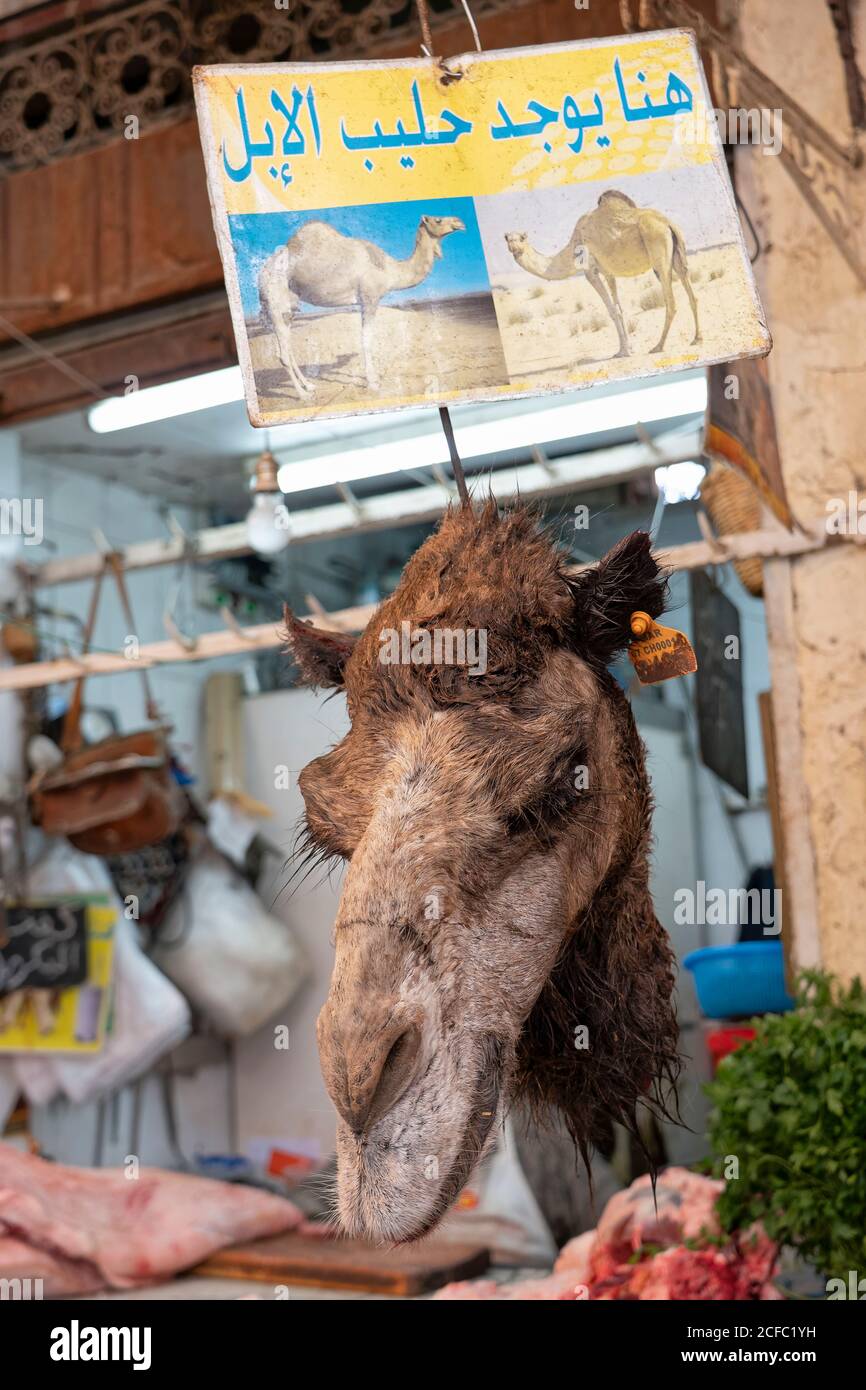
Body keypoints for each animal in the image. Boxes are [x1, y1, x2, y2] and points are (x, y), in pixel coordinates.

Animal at [258, 214, 465, 399]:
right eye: (438, 219)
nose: (460, 222)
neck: (389, 269)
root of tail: (261, 274)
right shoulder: (369, 298)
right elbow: (366, 339)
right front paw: (373, 383)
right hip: (275, 299)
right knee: (283, 353)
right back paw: (303, 395)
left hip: (290, 306)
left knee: (288, 347)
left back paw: (309, 385)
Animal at [505, 189, 701, 358]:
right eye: (507, 238)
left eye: (521, 238)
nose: (513, 248)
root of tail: (668, 223)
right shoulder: (608, 272)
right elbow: (619, 309)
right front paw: (627, 349)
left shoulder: (590, 271)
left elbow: (612, 311)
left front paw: (623, 352)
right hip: (678, 255)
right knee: (691, 293)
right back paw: (697, 338)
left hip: (659, 256)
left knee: (671, 302)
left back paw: (658, 346)